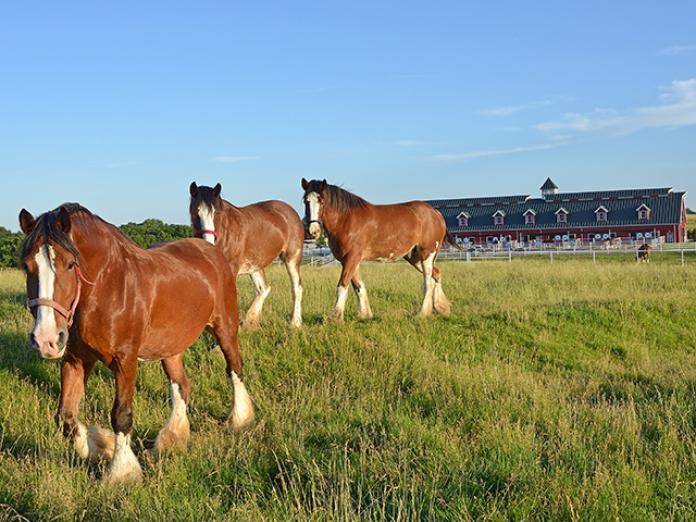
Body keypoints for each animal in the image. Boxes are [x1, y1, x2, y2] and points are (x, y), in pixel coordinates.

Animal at [18, 203, 254, 484]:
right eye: (27, 267)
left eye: (70, 264)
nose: (46, 339)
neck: (107, 286)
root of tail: (210, 251)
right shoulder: (75, 360)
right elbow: (65, 416)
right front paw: (100, 448)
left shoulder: (125, 361)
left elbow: (121, 415)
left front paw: (121, 473)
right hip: (170, 347)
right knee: (182, 385)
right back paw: (171, 439)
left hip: (225, 329)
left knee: (235, 369)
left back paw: (239, 419)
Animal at [189, 182, 305, 329]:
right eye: (195, 212)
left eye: (216, 213)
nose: (208, 242)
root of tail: (291, 212)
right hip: (255, 264)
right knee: (263, 288)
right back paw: (250, 321)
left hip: (292, 258)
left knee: (296, 288)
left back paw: (295, 323)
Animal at [301, 178, 452, 321]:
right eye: (306, 201)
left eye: (321, 201)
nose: (313, 232)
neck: (346, 220)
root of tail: (436, 213)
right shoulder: (348, 260)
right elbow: (358, 286)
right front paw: (365, 315)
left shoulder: (352, 257)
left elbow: (342, 285)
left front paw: (335, 317)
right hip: (414, 257)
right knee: (436, 274)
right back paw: (442, 308)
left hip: (427, 253)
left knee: (428, 281)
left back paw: (422, 313)